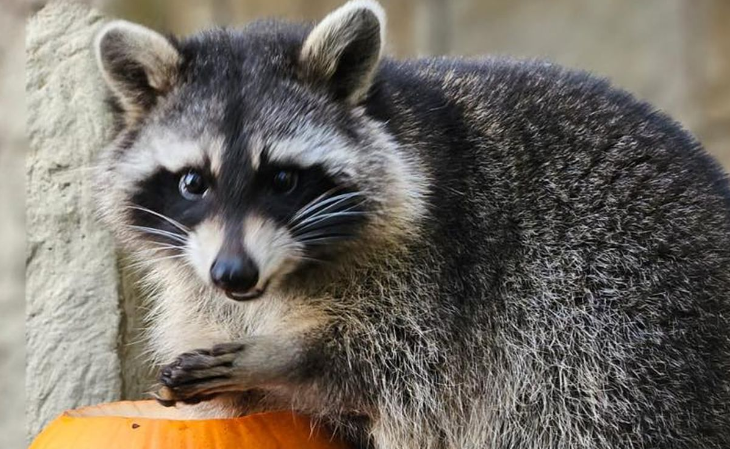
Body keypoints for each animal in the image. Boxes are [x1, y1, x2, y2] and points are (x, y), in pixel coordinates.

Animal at [92, 1, 730, 448]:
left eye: (283, 179)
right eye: (192, 183)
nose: (233, 274)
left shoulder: (442, 266)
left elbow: (390, 359)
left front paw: (283, 355)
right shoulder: (201, 289)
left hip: (615, 317)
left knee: (562, 405)